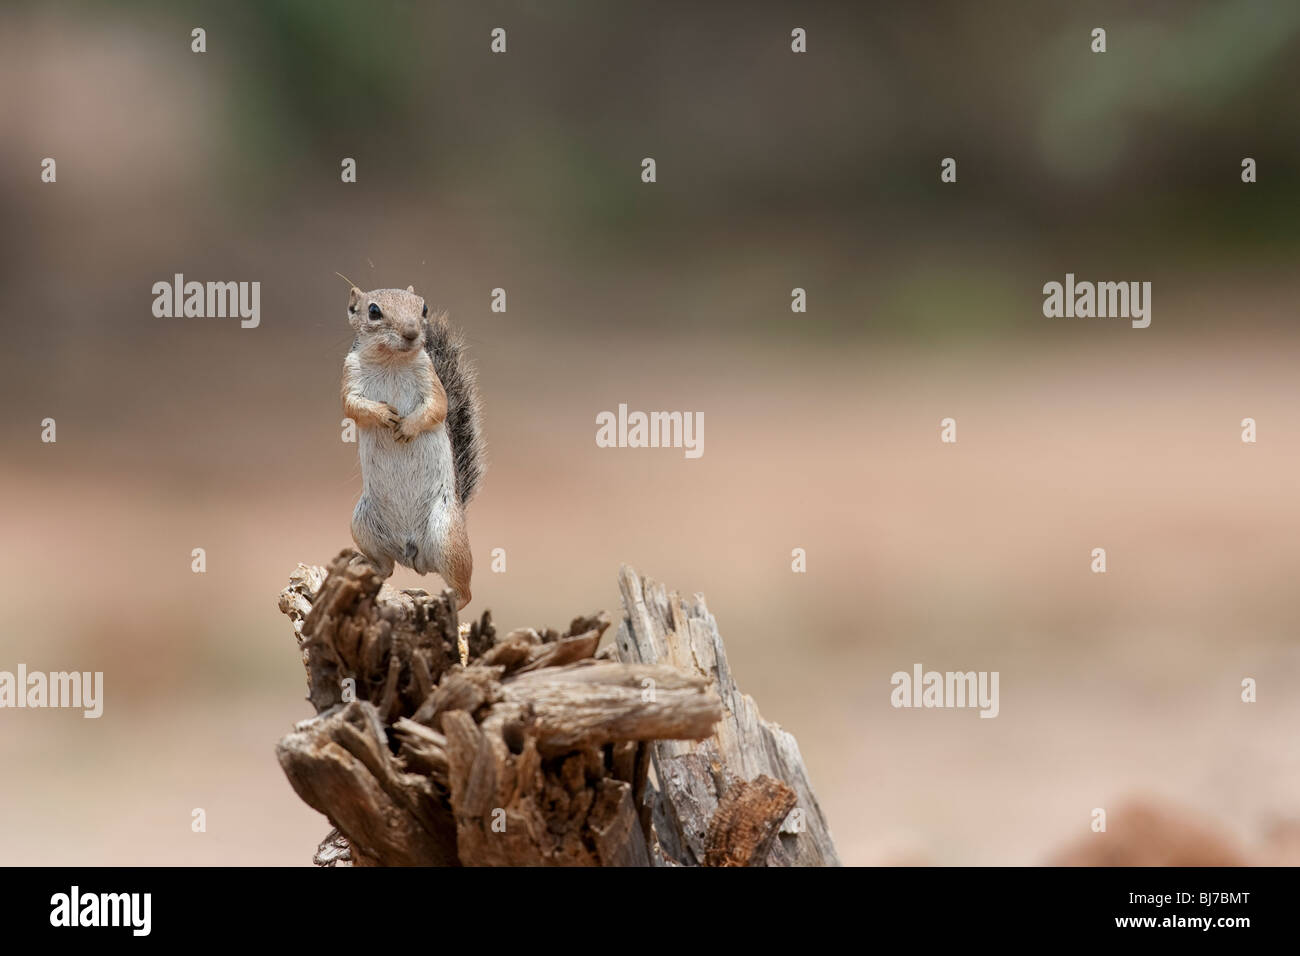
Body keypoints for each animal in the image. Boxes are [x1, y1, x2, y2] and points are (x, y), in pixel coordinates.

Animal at [340, 283, 485, 611]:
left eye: (424, 307)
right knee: (386, 568)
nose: (411, 332)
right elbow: (353, 407)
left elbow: (436, 408)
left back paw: (430, 599)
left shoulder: (431, 380)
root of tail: (414, 554)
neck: (391, 360)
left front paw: (406, 427)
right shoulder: (349, 378)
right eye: (374, 311)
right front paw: (384, 415)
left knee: (464, 594)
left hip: (448, 538)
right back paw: (363, 562)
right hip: (362, 526)